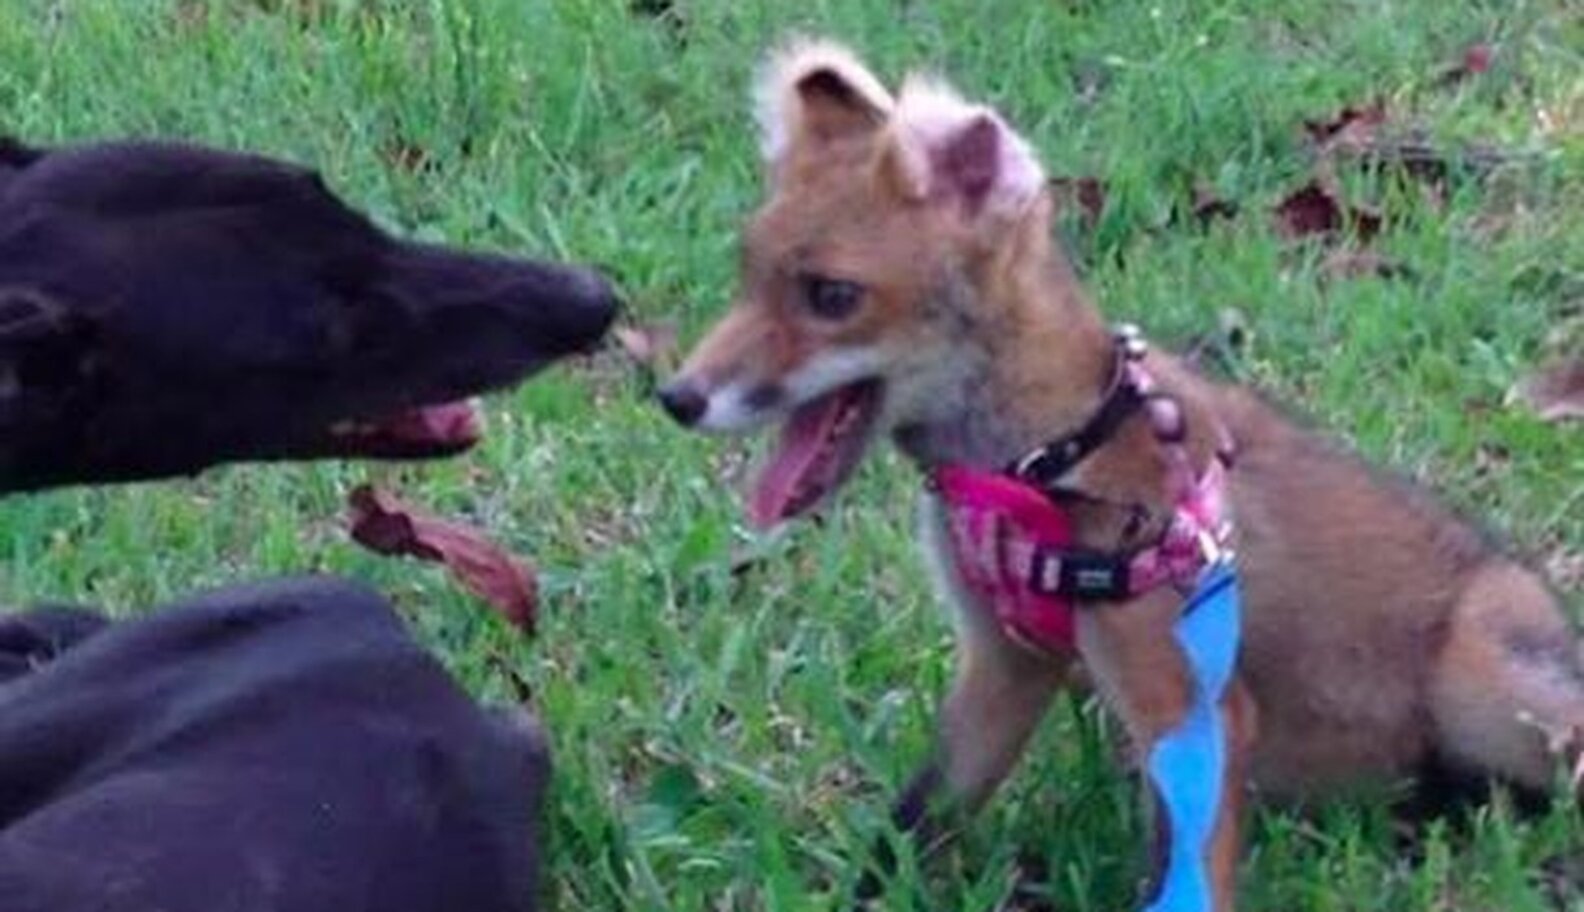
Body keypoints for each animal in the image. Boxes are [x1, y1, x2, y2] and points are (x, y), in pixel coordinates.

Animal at [656, 39, 1584, 910]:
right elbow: (911, 825)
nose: (676, 397)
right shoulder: (1004, 667)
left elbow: (1181, 878)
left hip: (1485, 683)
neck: (1051, 463)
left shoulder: (1192, 707)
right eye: (747, 276)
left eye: (831, 297)